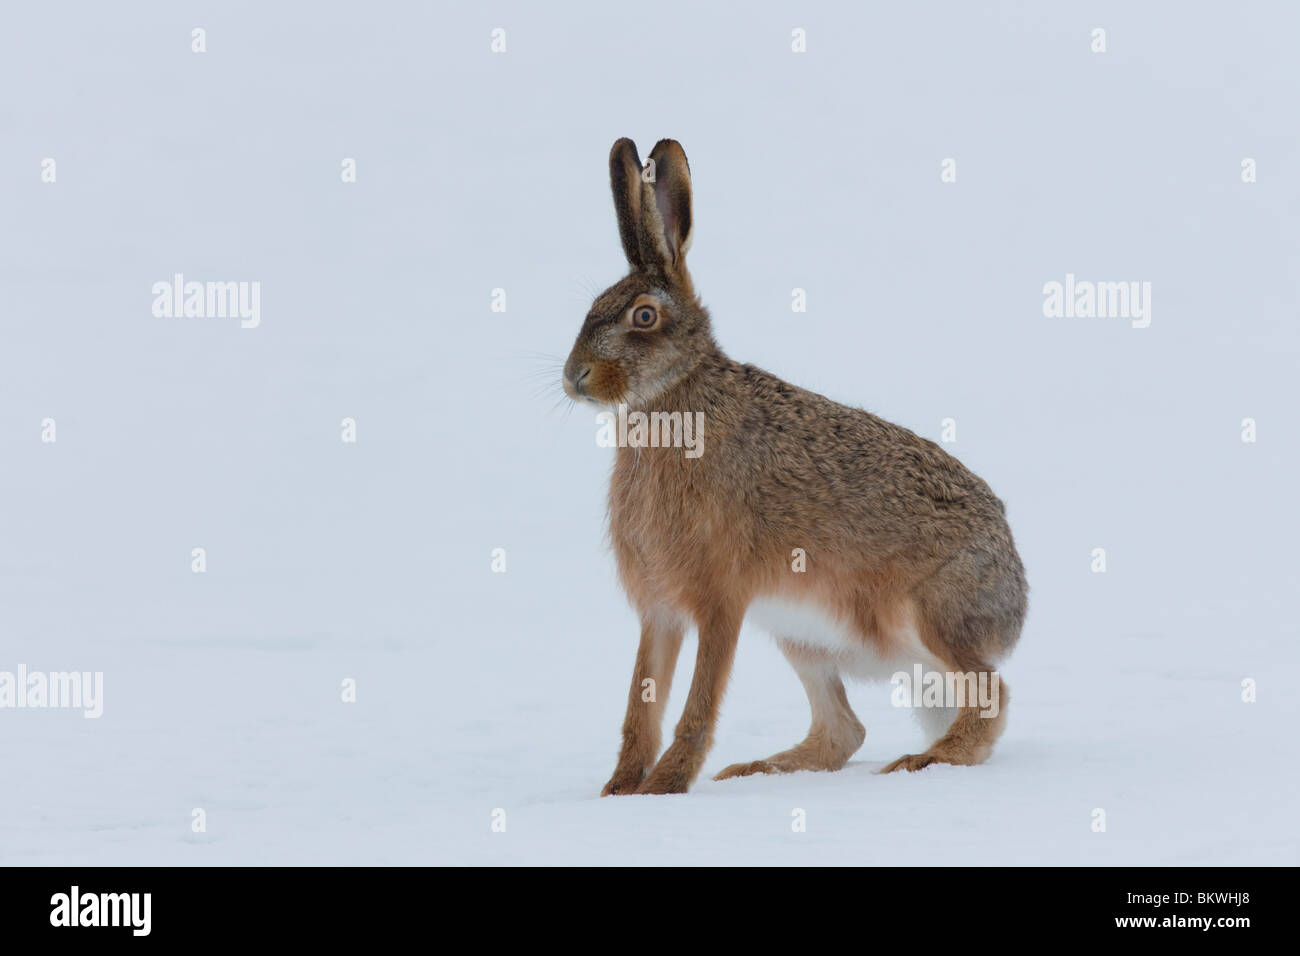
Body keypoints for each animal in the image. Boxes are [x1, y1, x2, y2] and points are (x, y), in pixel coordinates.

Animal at [562, 138, 1028, 795]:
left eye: (644, 317)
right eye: (592, 309)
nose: (574, 376)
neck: (672, 399)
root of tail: (1015, 590)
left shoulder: (720, 601)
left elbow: (697, 703)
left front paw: (664, 788)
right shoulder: (660, 611)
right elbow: (639, 704)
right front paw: (620, 792)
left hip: (922, 616)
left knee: (991, 692)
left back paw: (925, 760)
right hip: (802, 636)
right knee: (843, 731)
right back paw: (758, 770)